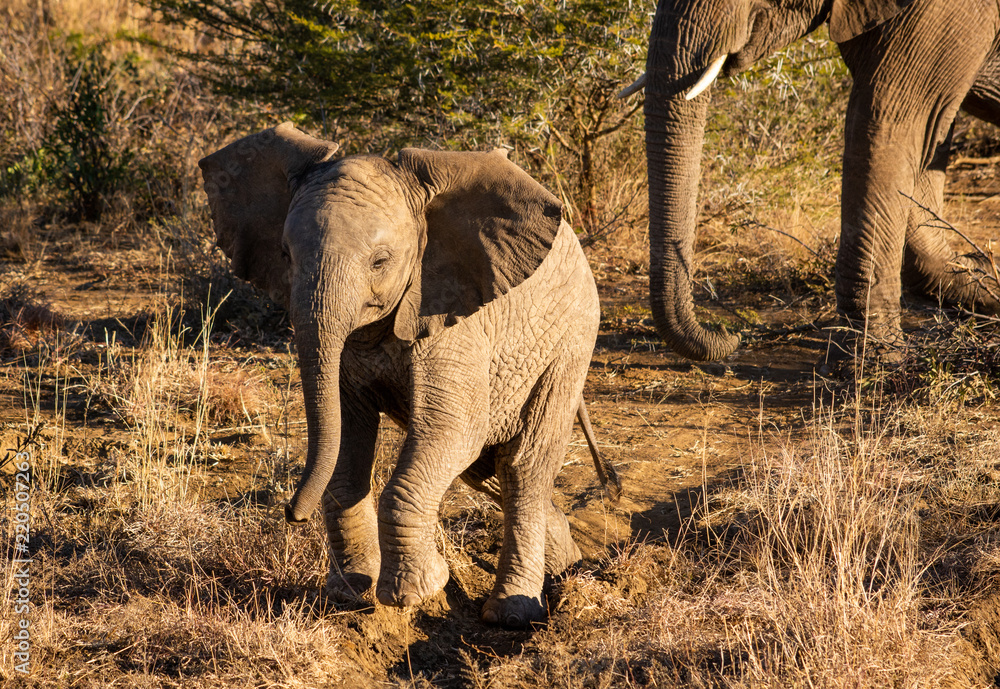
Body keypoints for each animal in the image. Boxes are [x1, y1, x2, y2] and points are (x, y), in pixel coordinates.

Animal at [198, 123, 620, 627]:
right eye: (285, 254)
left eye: (380, 261)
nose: (291, 513)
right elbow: (349, 441)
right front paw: (351, 594)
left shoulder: (452, 319)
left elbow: (451, 430)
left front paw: (416, 593)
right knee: (486, 466)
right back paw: (567, 566)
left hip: (572, 340)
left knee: (521, 466)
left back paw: (511, 612)